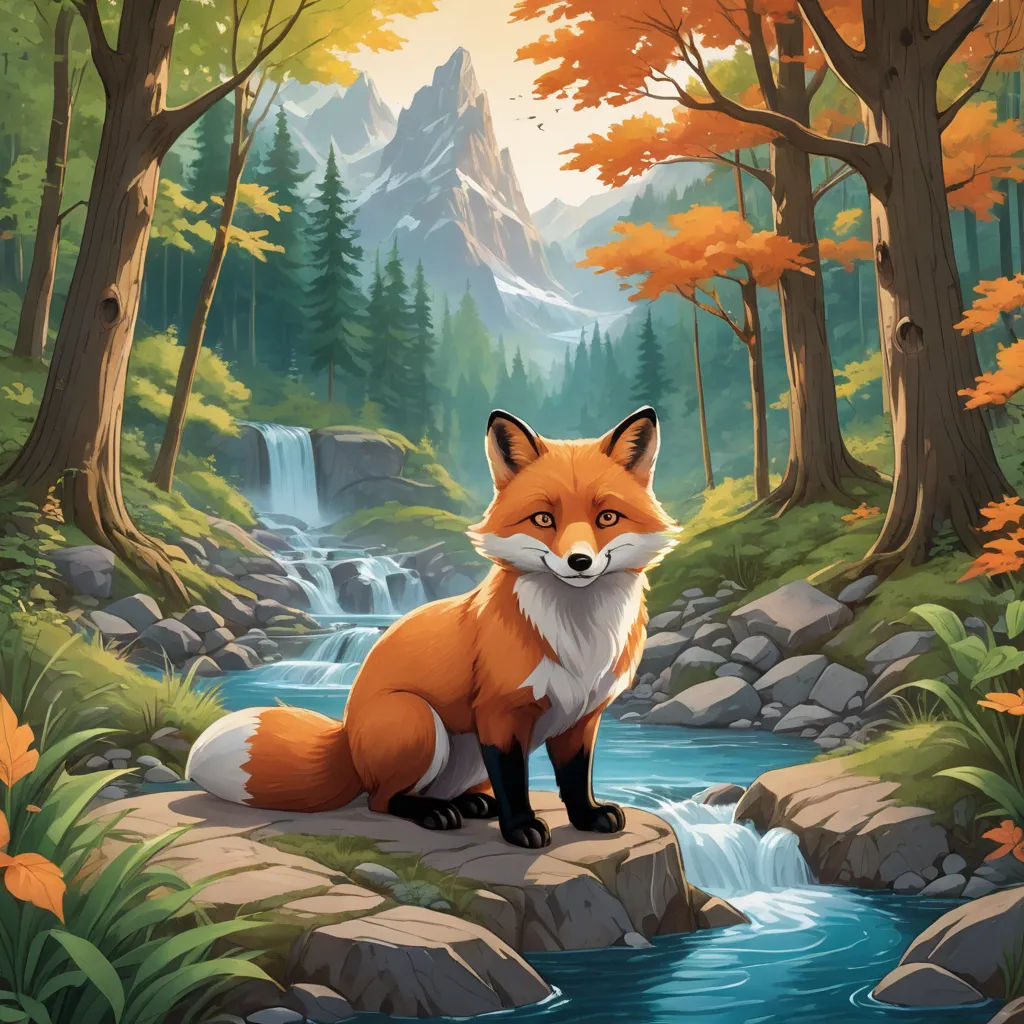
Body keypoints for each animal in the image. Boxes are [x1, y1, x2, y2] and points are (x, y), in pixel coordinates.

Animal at [186, 407, 677, 848]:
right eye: (543, 519)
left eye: (607, 517)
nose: (579, 562)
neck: (579, 636)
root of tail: (346, 739)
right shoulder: (499, 713)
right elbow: (514, 780)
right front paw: (521, 828)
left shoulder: (583, 716)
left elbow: (575, 778)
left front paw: (587, 817)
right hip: (418, 720)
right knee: (381, 800)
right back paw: (435, 813)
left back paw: (472, 805)